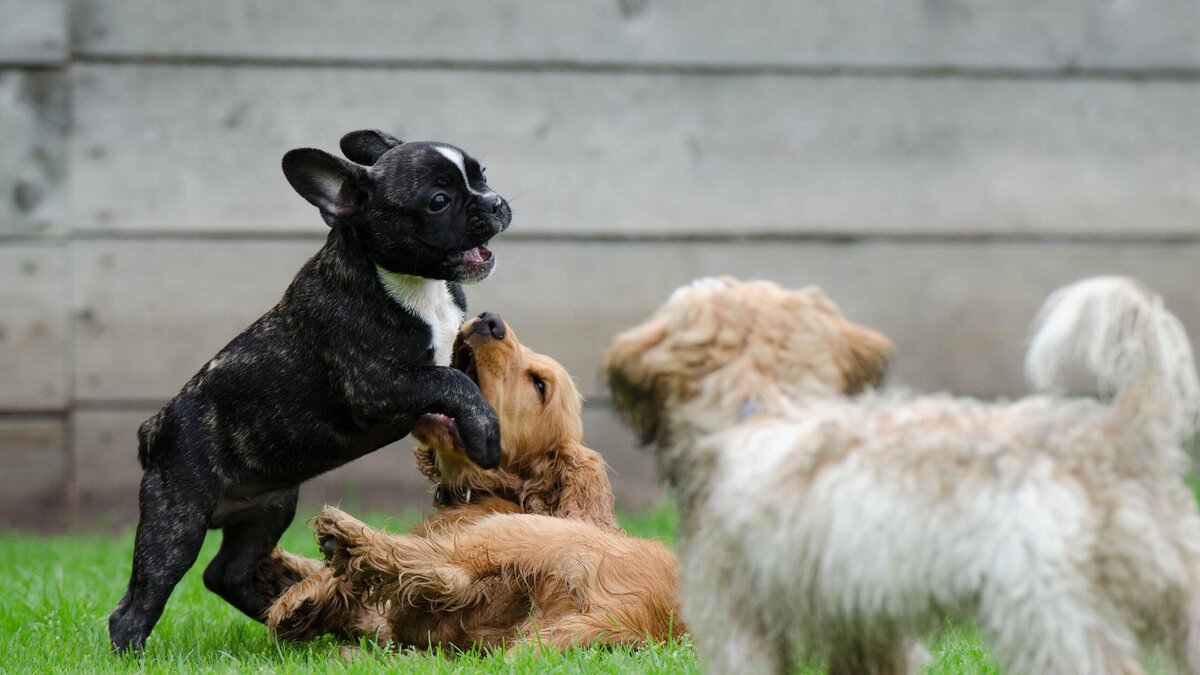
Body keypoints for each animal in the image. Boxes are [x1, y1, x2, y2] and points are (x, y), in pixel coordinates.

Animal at [106, 128, 511, 648]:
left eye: (482, 176)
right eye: (438, 201)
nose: (495, 201)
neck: (415, 285)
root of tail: (155, 427)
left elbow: (462, 373)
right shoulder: (376, 387)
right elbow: (451, 379)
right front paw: (485, 436)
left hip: (270, 508)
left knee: (225, 574)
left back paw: (289, 617)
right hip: (177, 521)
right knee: (139, 602)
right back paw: (137, 651)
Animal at [260, 312, 686, 648]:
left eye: (539, 385)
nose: (489, 320)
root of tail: (634, 615)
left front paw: (301, 594)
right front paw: (285, 573)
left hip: (519, 533)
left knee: (445, 571)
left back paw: (344, 538)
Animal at [604, 275, 1200, 672]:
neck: (765, 404)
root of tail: (1121, 431)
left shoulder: (739, 620)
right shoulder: (864, 627)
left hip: (1051, 615)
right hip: (1180, 600)